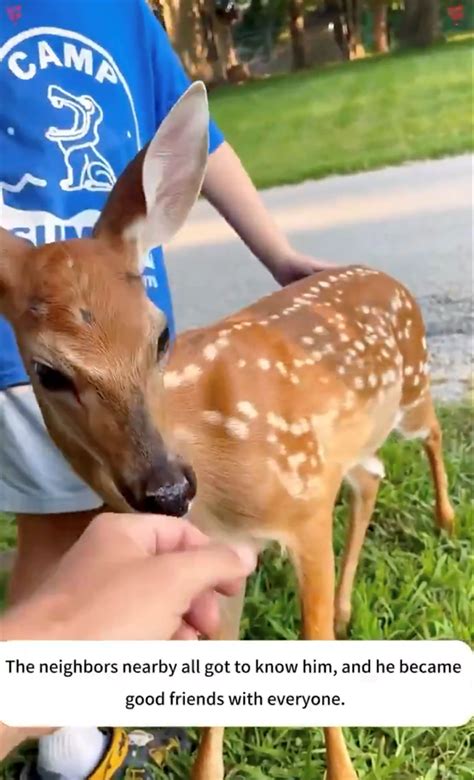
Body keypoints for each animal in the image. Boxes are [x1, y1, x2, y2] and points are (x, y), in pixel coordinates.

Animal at [0, 82, 455, 780]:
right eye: (49, 373)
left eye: (161, 333)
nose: (166, 490)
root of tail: (389, 278)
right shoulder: (226, 552)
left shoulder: (302, 507)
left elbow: (313, 645)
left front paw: (342, 770)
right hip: (349, 442)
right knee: (371, 478)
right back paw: (351, 603)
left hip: (411, 389)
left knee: (429, 436)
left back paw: (448, 520)